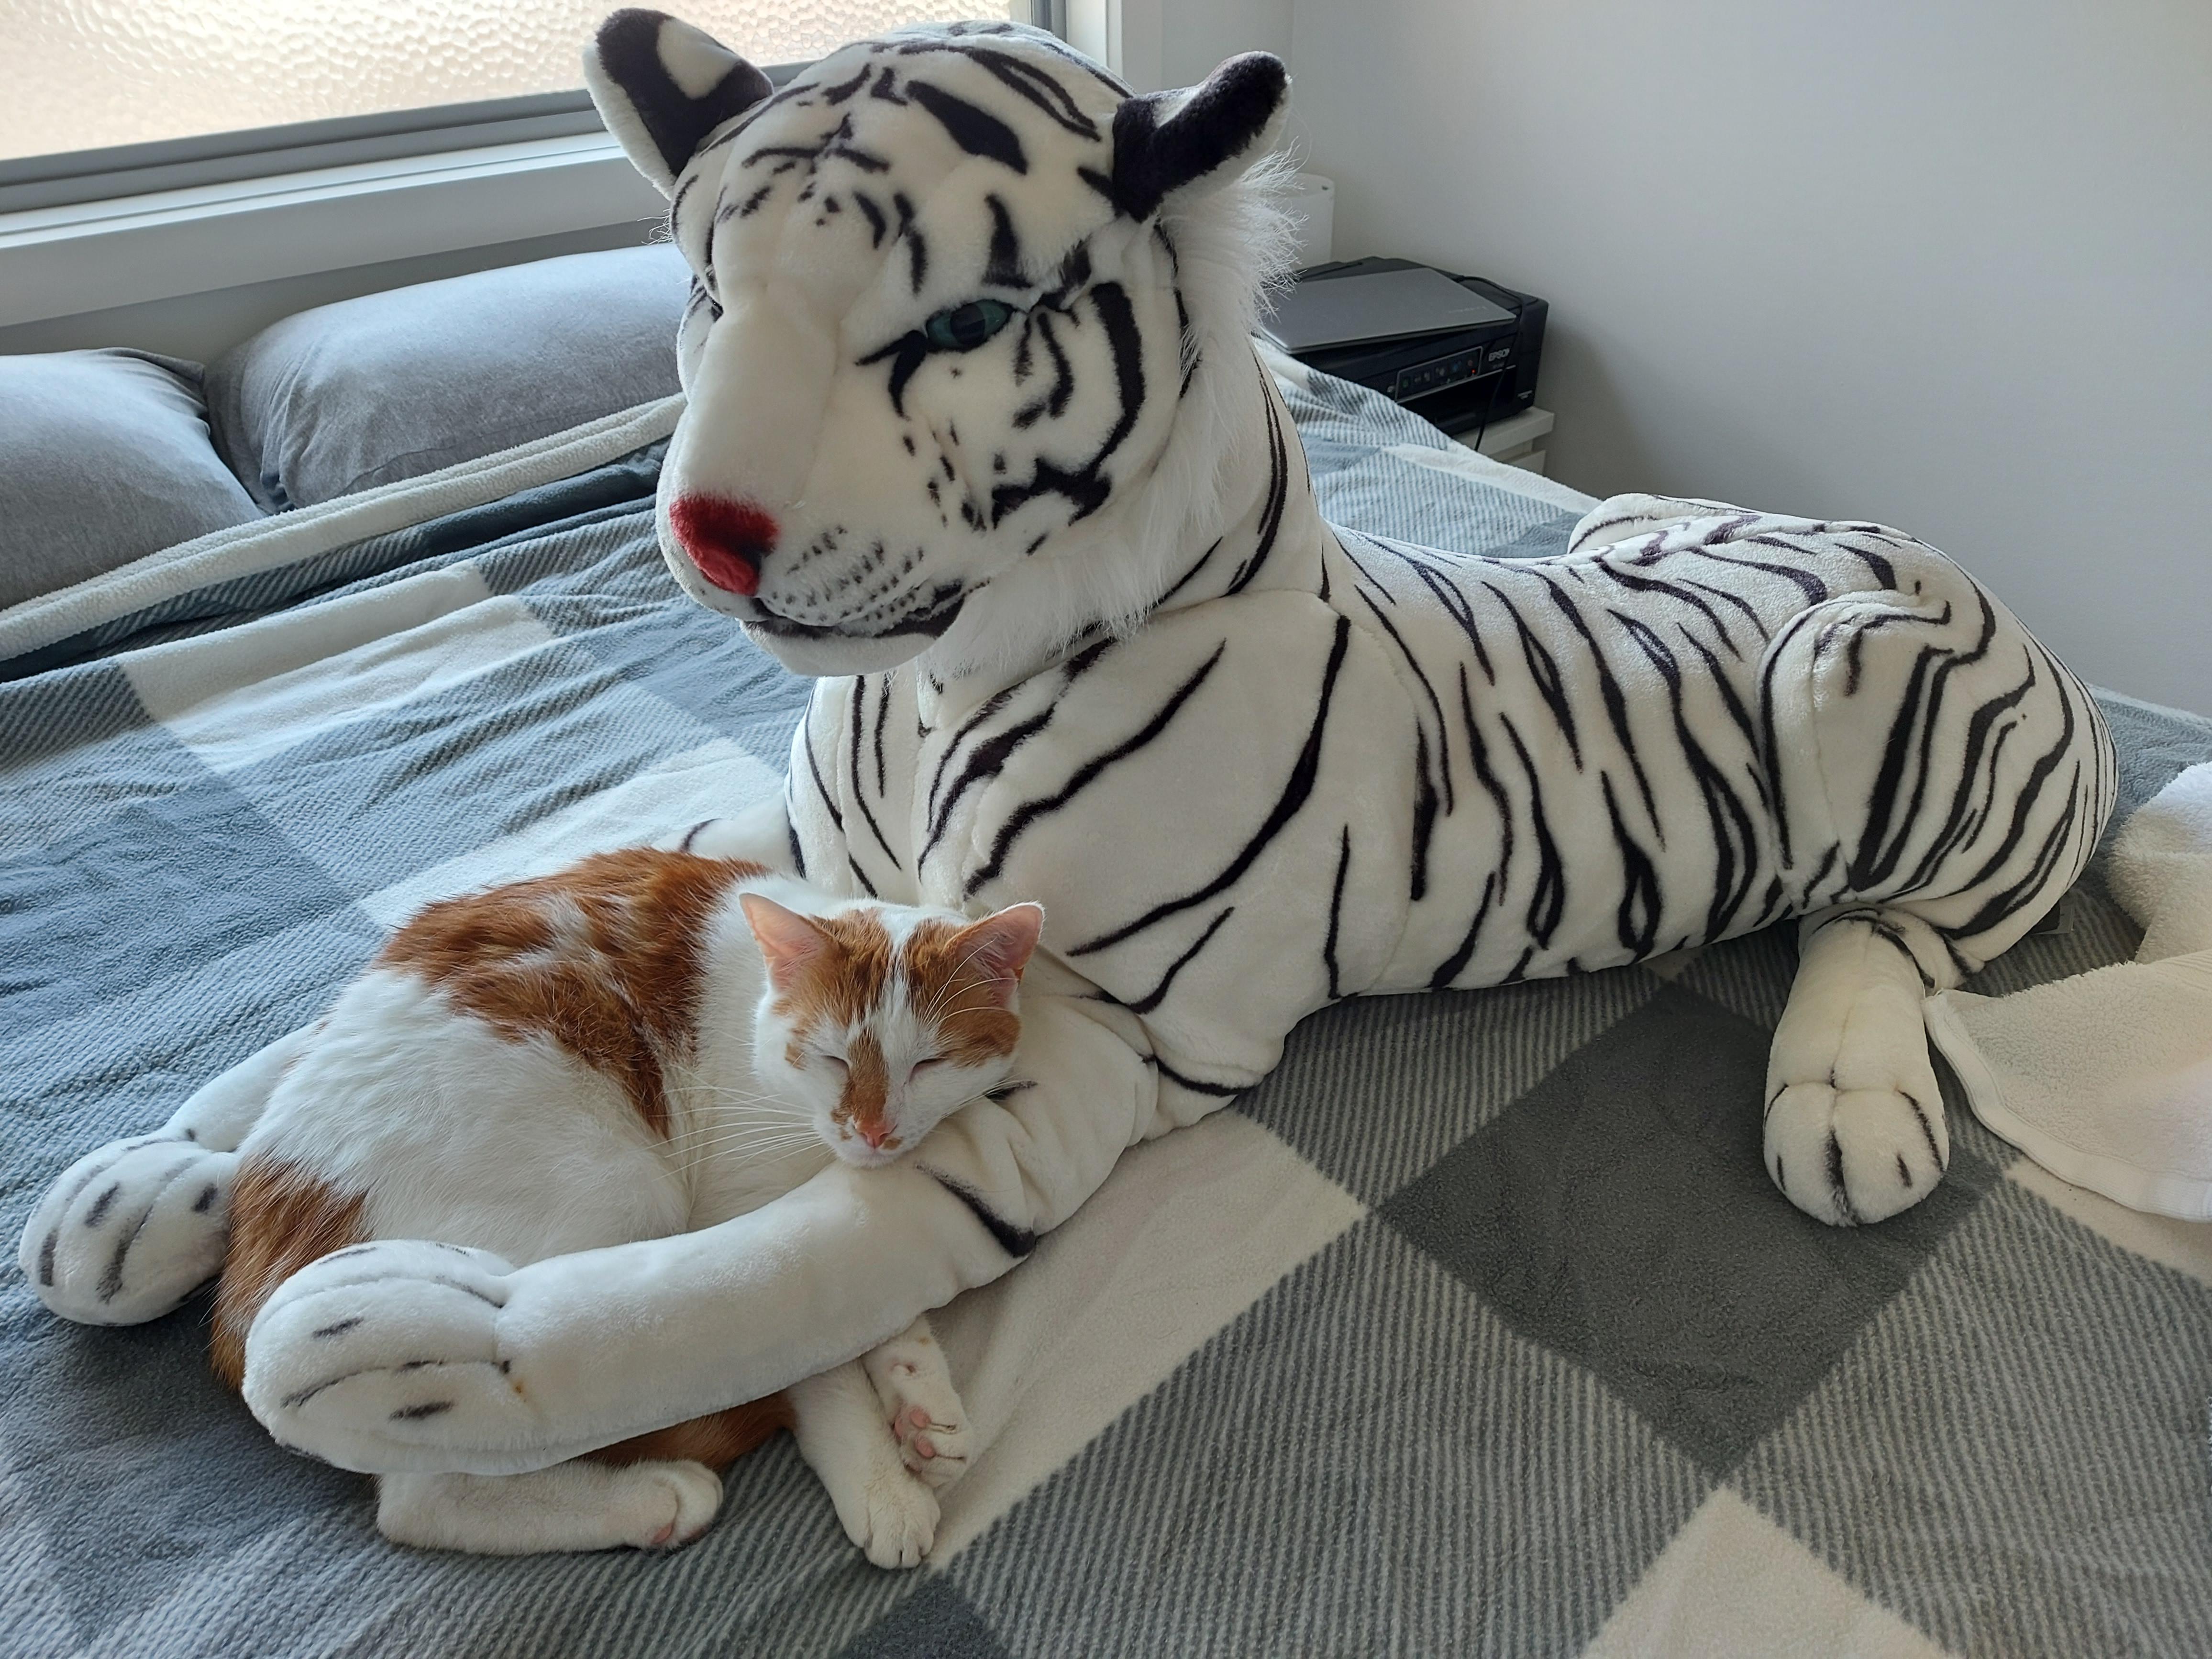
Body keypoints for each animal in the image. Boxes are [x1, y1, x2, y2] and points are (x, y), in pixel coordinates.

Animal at [37, 11, 2115, 1480]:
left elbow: (762, 1279)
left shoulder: (1073, 1047)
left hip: (1862, 695)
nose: (702, 532)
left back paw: (1847, 1108)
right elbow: (432, 954)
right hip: (1673, 538)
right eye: (706, 293)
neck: (930, 681)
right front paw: (146, 1181)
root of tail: (1936, 570)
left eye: (955, 324)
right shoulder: (806, 855)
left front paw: (417, 1351)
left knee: (1905, 923)